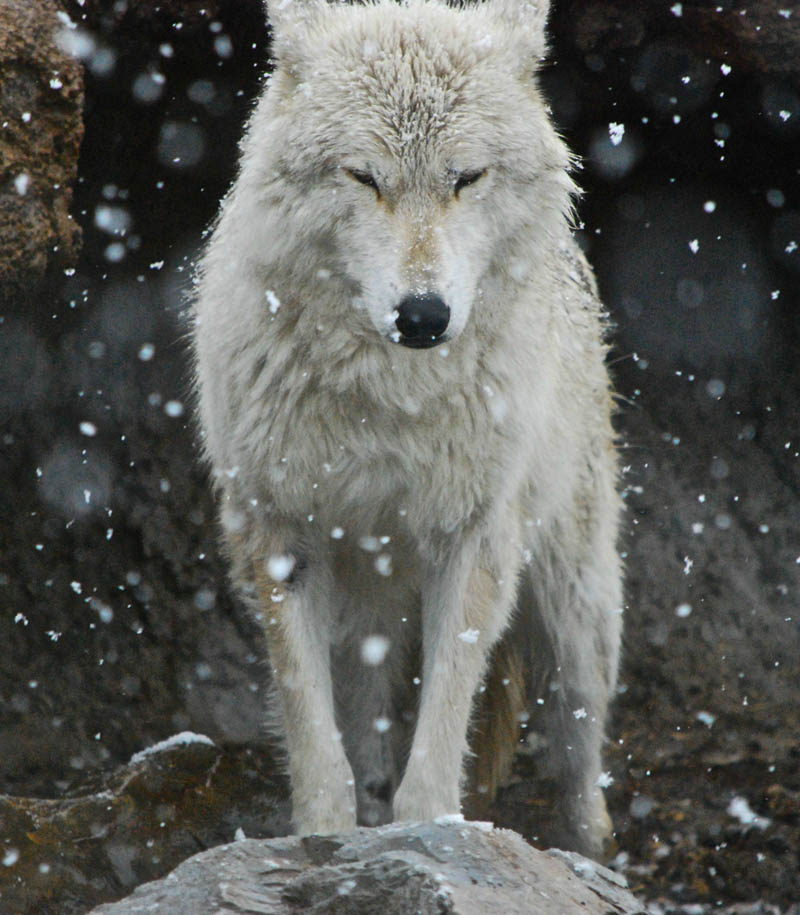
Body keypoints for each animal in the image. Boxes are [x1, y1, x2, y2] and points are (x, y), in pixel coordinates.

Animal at [192, 0, 623, 858]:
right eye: (365, 177)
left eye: (466, 178)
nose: (422, 316)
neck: (386, 400)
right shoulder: (281, 536)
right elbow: (315, 739)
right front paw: (324, 841)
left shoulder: (475, 538)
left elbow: (440, 738)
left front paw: (434, 834)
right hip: (366, 611)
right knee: (366, 723)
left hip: (577, 610)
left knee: (581, 760)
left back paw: (587, 853)